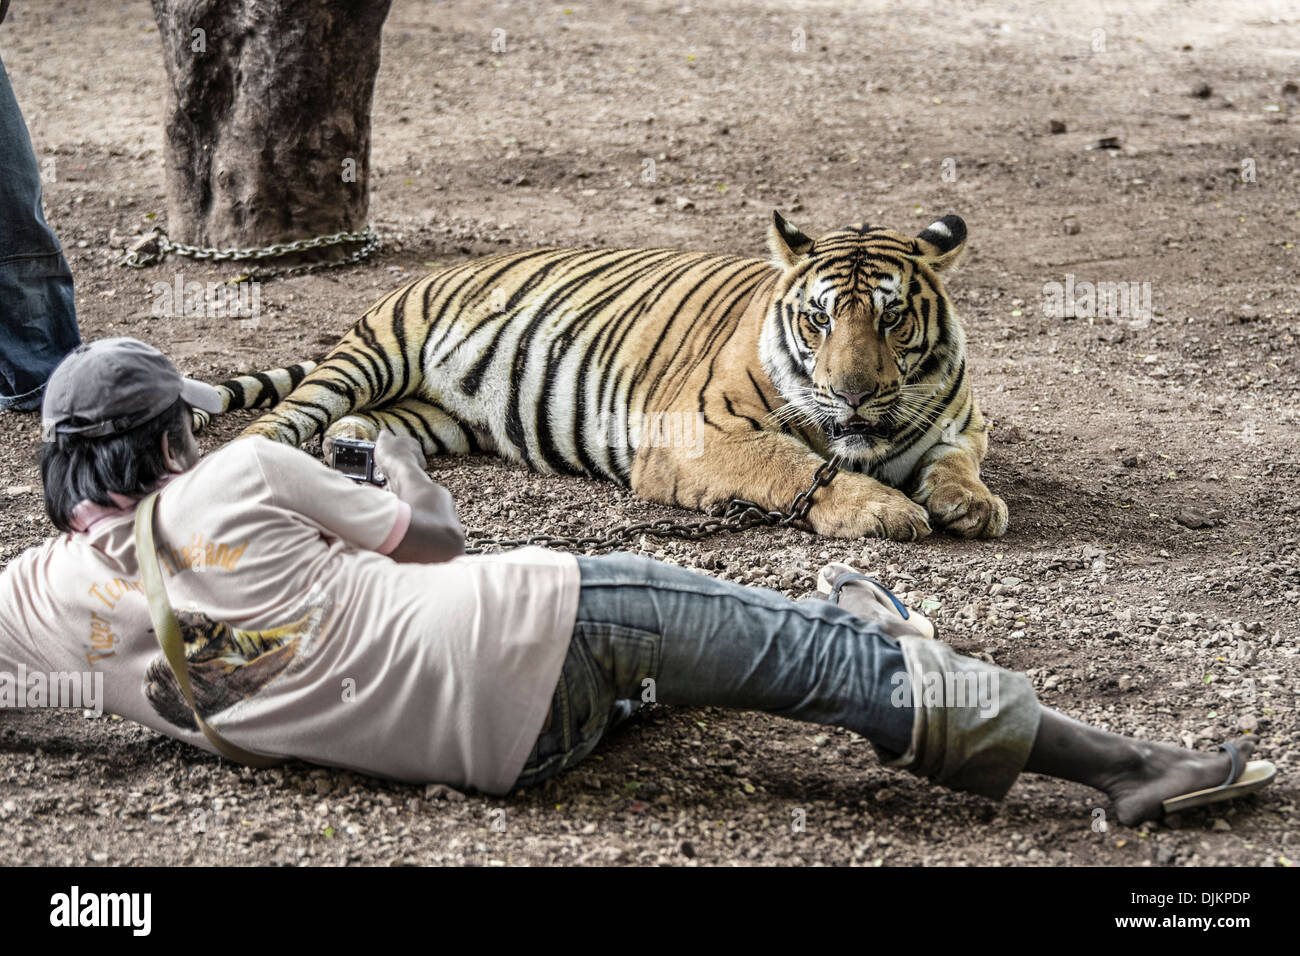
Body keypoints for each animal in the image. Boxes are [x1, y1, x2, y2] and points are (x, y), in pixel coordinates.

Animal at [201, 212, 1008, 540]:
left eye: (893, 318)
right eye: (819, 319)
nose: (853, 393)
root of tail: (437, 270)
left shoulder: (961, 425)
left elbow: (956, 462)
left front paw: (972, 504)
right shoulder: (702, 434)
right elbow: (793, 465)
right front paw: (882, 511)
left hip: (438, 418)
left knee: (358, 427)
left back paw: (365, 458)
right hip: (378, 350)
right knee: (284, 419)